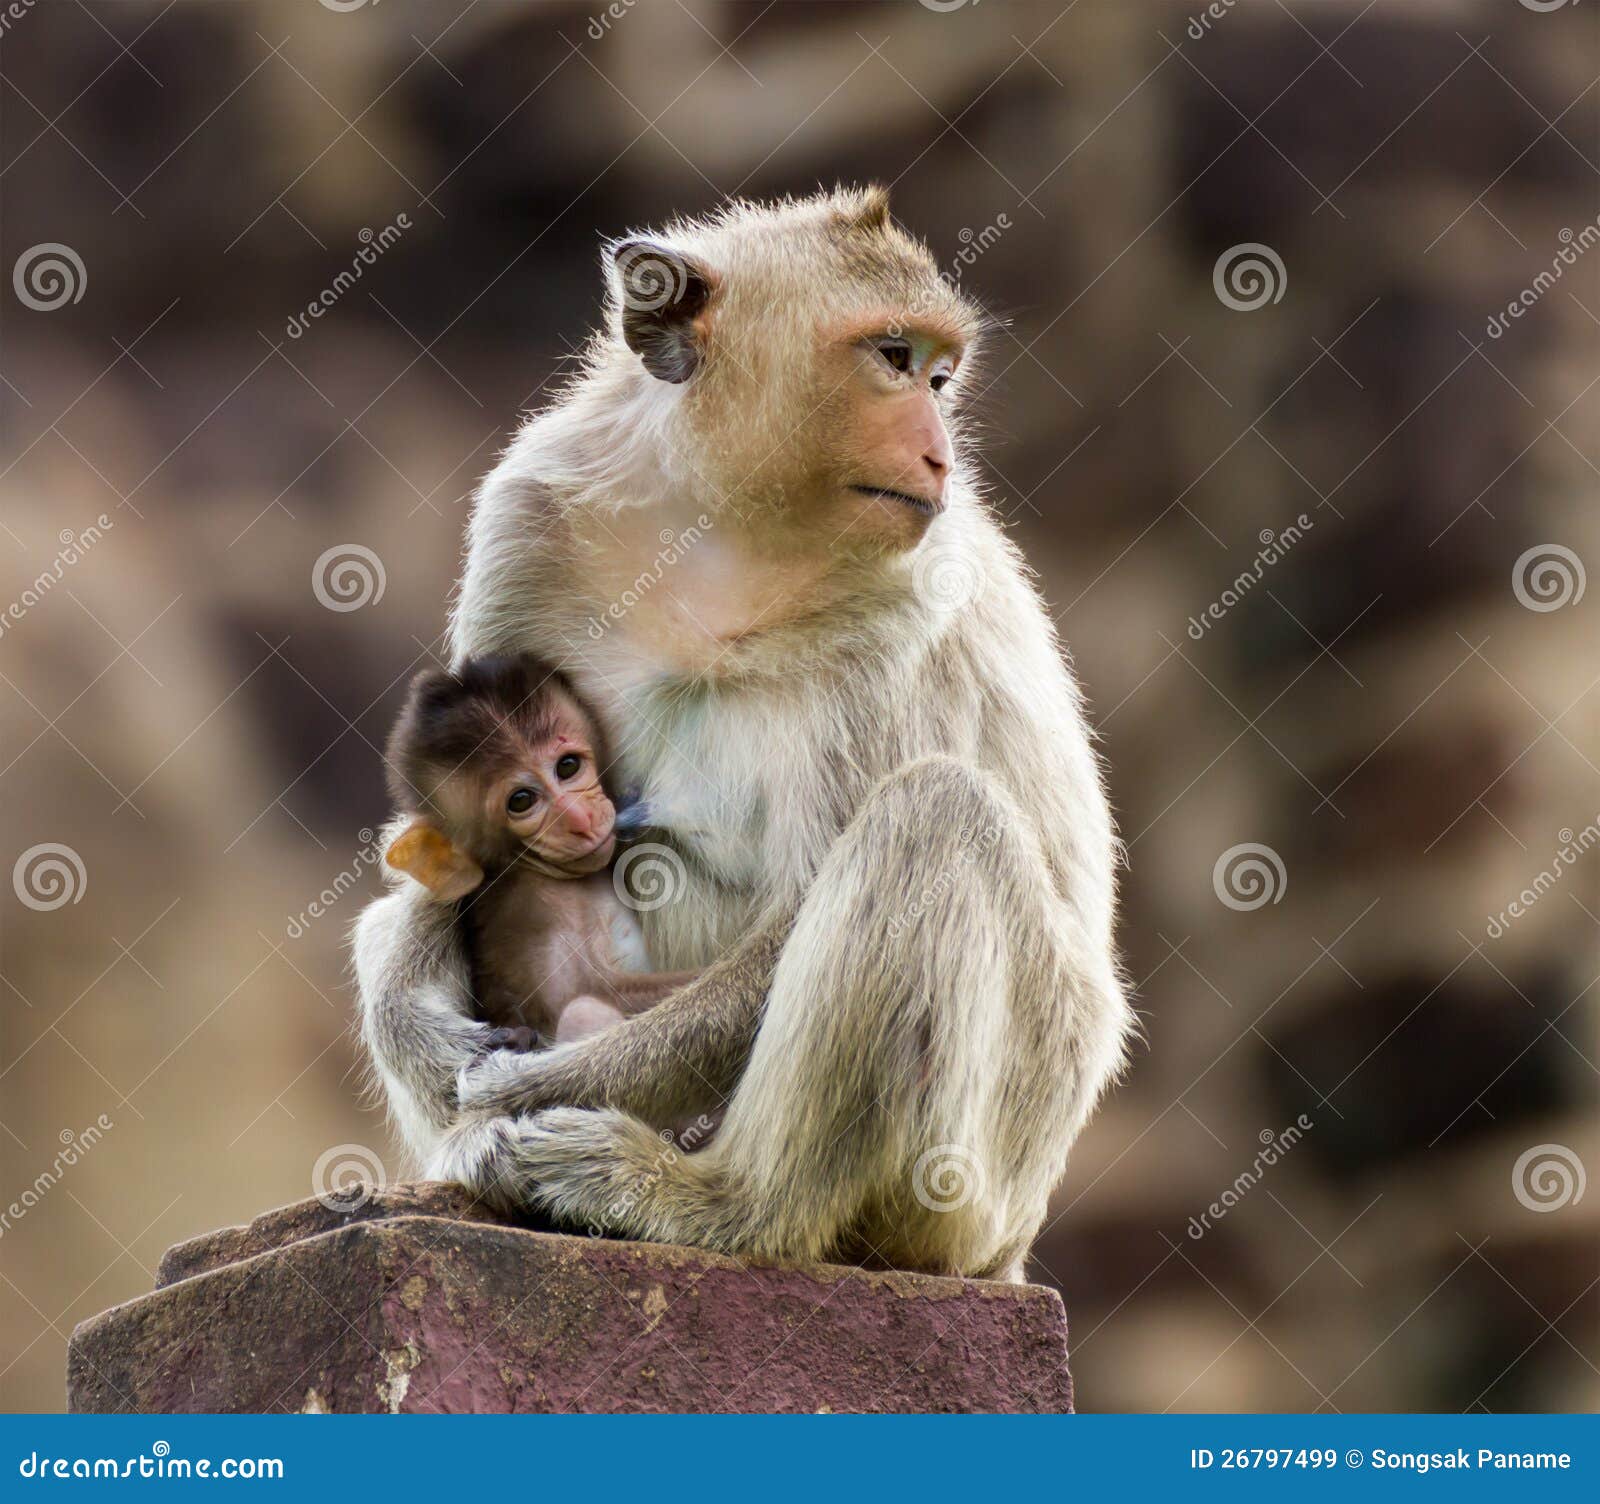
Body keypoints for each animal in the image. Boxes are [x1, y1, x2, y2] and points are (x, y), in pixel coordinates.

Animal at [382, 653, 699, 1051]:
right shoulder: (544, 914)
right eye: (521, 801)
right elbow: (590, 993)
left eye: (568, 766)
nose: (581, 819)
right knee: (583, 1011)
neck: (532, 868)